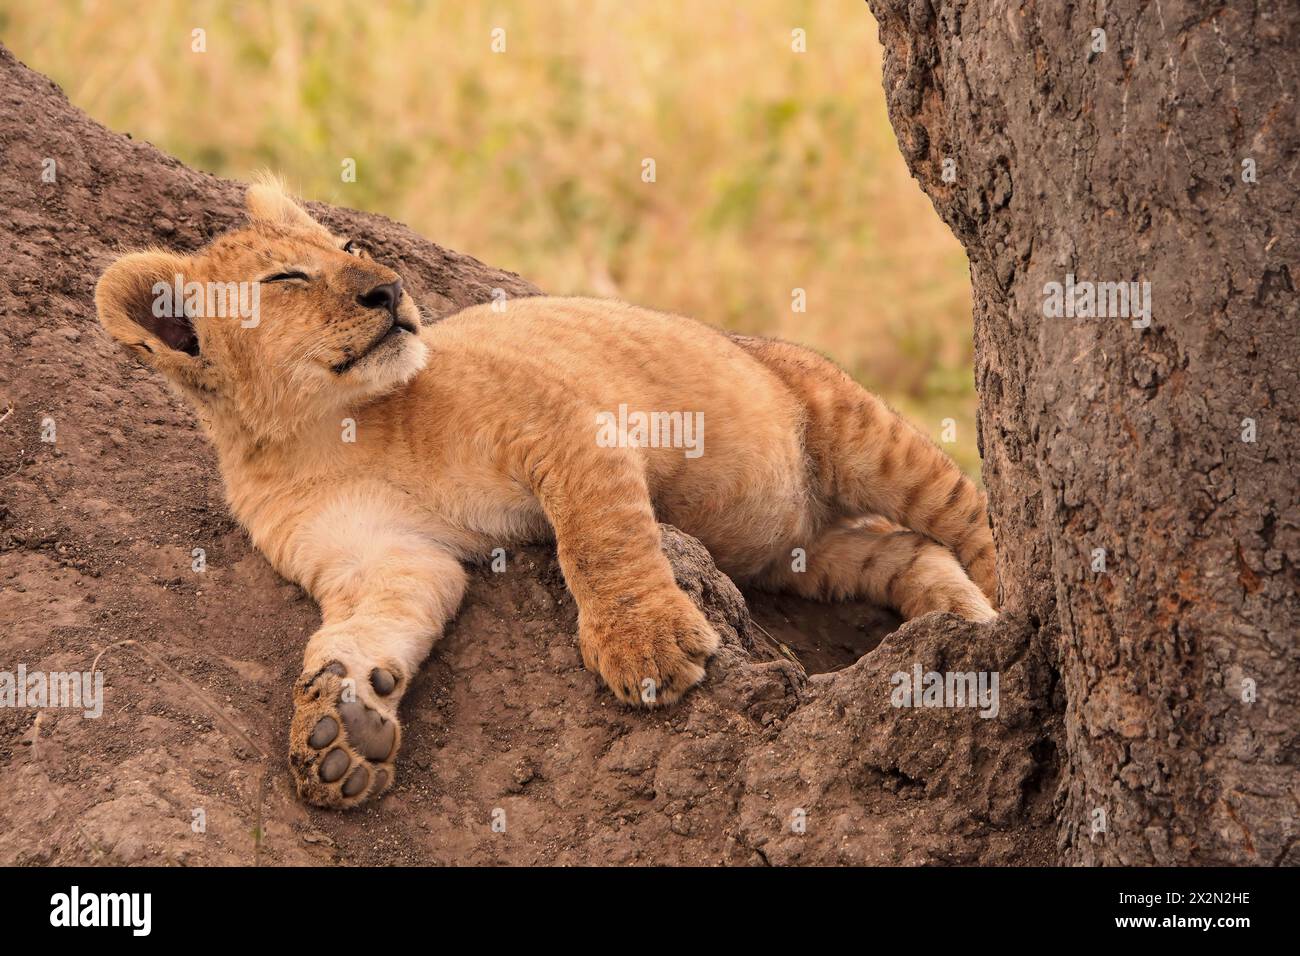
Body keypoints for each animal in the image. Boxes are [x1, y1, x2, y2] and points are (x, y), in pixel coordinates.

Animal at [95, 179, 997, 808]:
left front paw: (645, 650)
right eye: (285, 277)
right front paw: (339, 727)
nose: (389, 288)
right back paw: (959, 621)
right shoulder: (382, 557)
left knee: (972, 519)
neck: (329, 435)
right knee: (908, 550)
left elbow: (598, 541)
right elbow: (370, 623)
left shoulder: (567, 424)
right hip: (800, 555)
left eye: (352, 243)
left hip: (859, 432)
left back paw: (1007, 614)